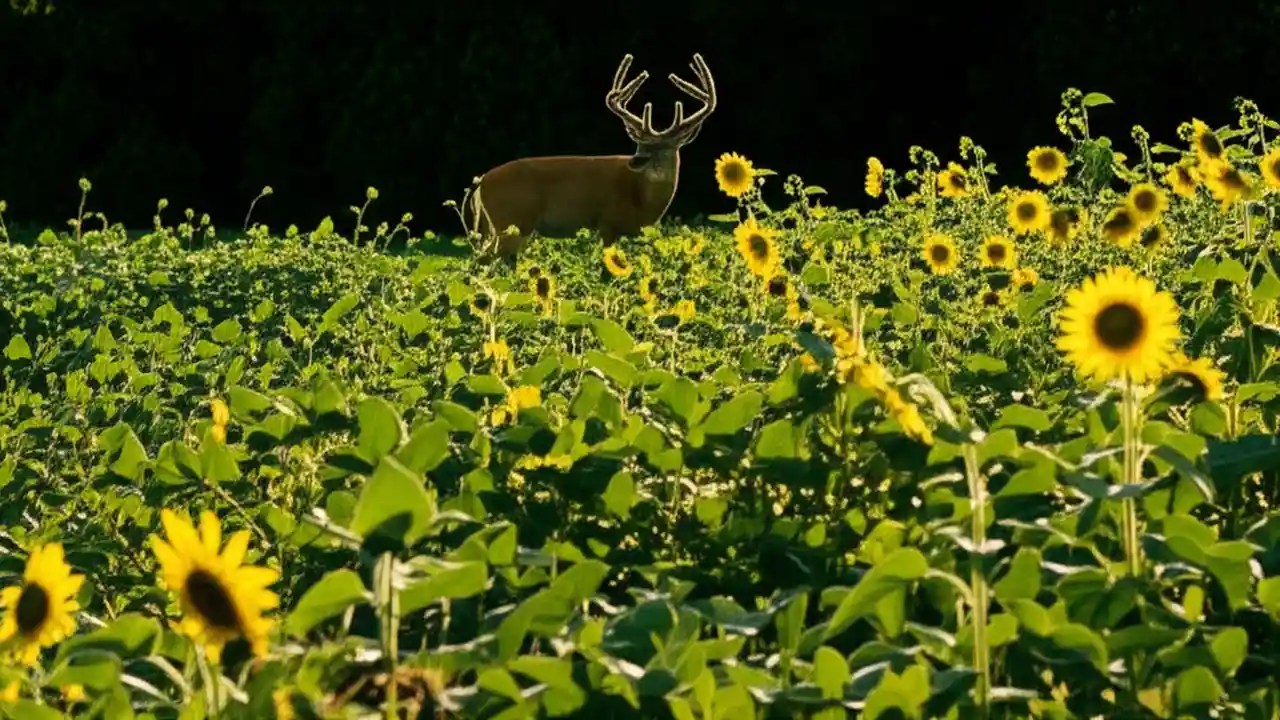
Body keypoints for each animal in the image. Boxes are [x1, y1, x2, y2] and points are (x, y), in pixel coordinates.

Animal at [462, 53, 717, 258]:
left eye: (665, 149)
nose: (637, 161)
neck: (640, 197)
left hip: (496, 227)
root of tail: (482, 180)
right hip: (513, 222)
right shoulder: (606, 222)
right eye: (640, 146)